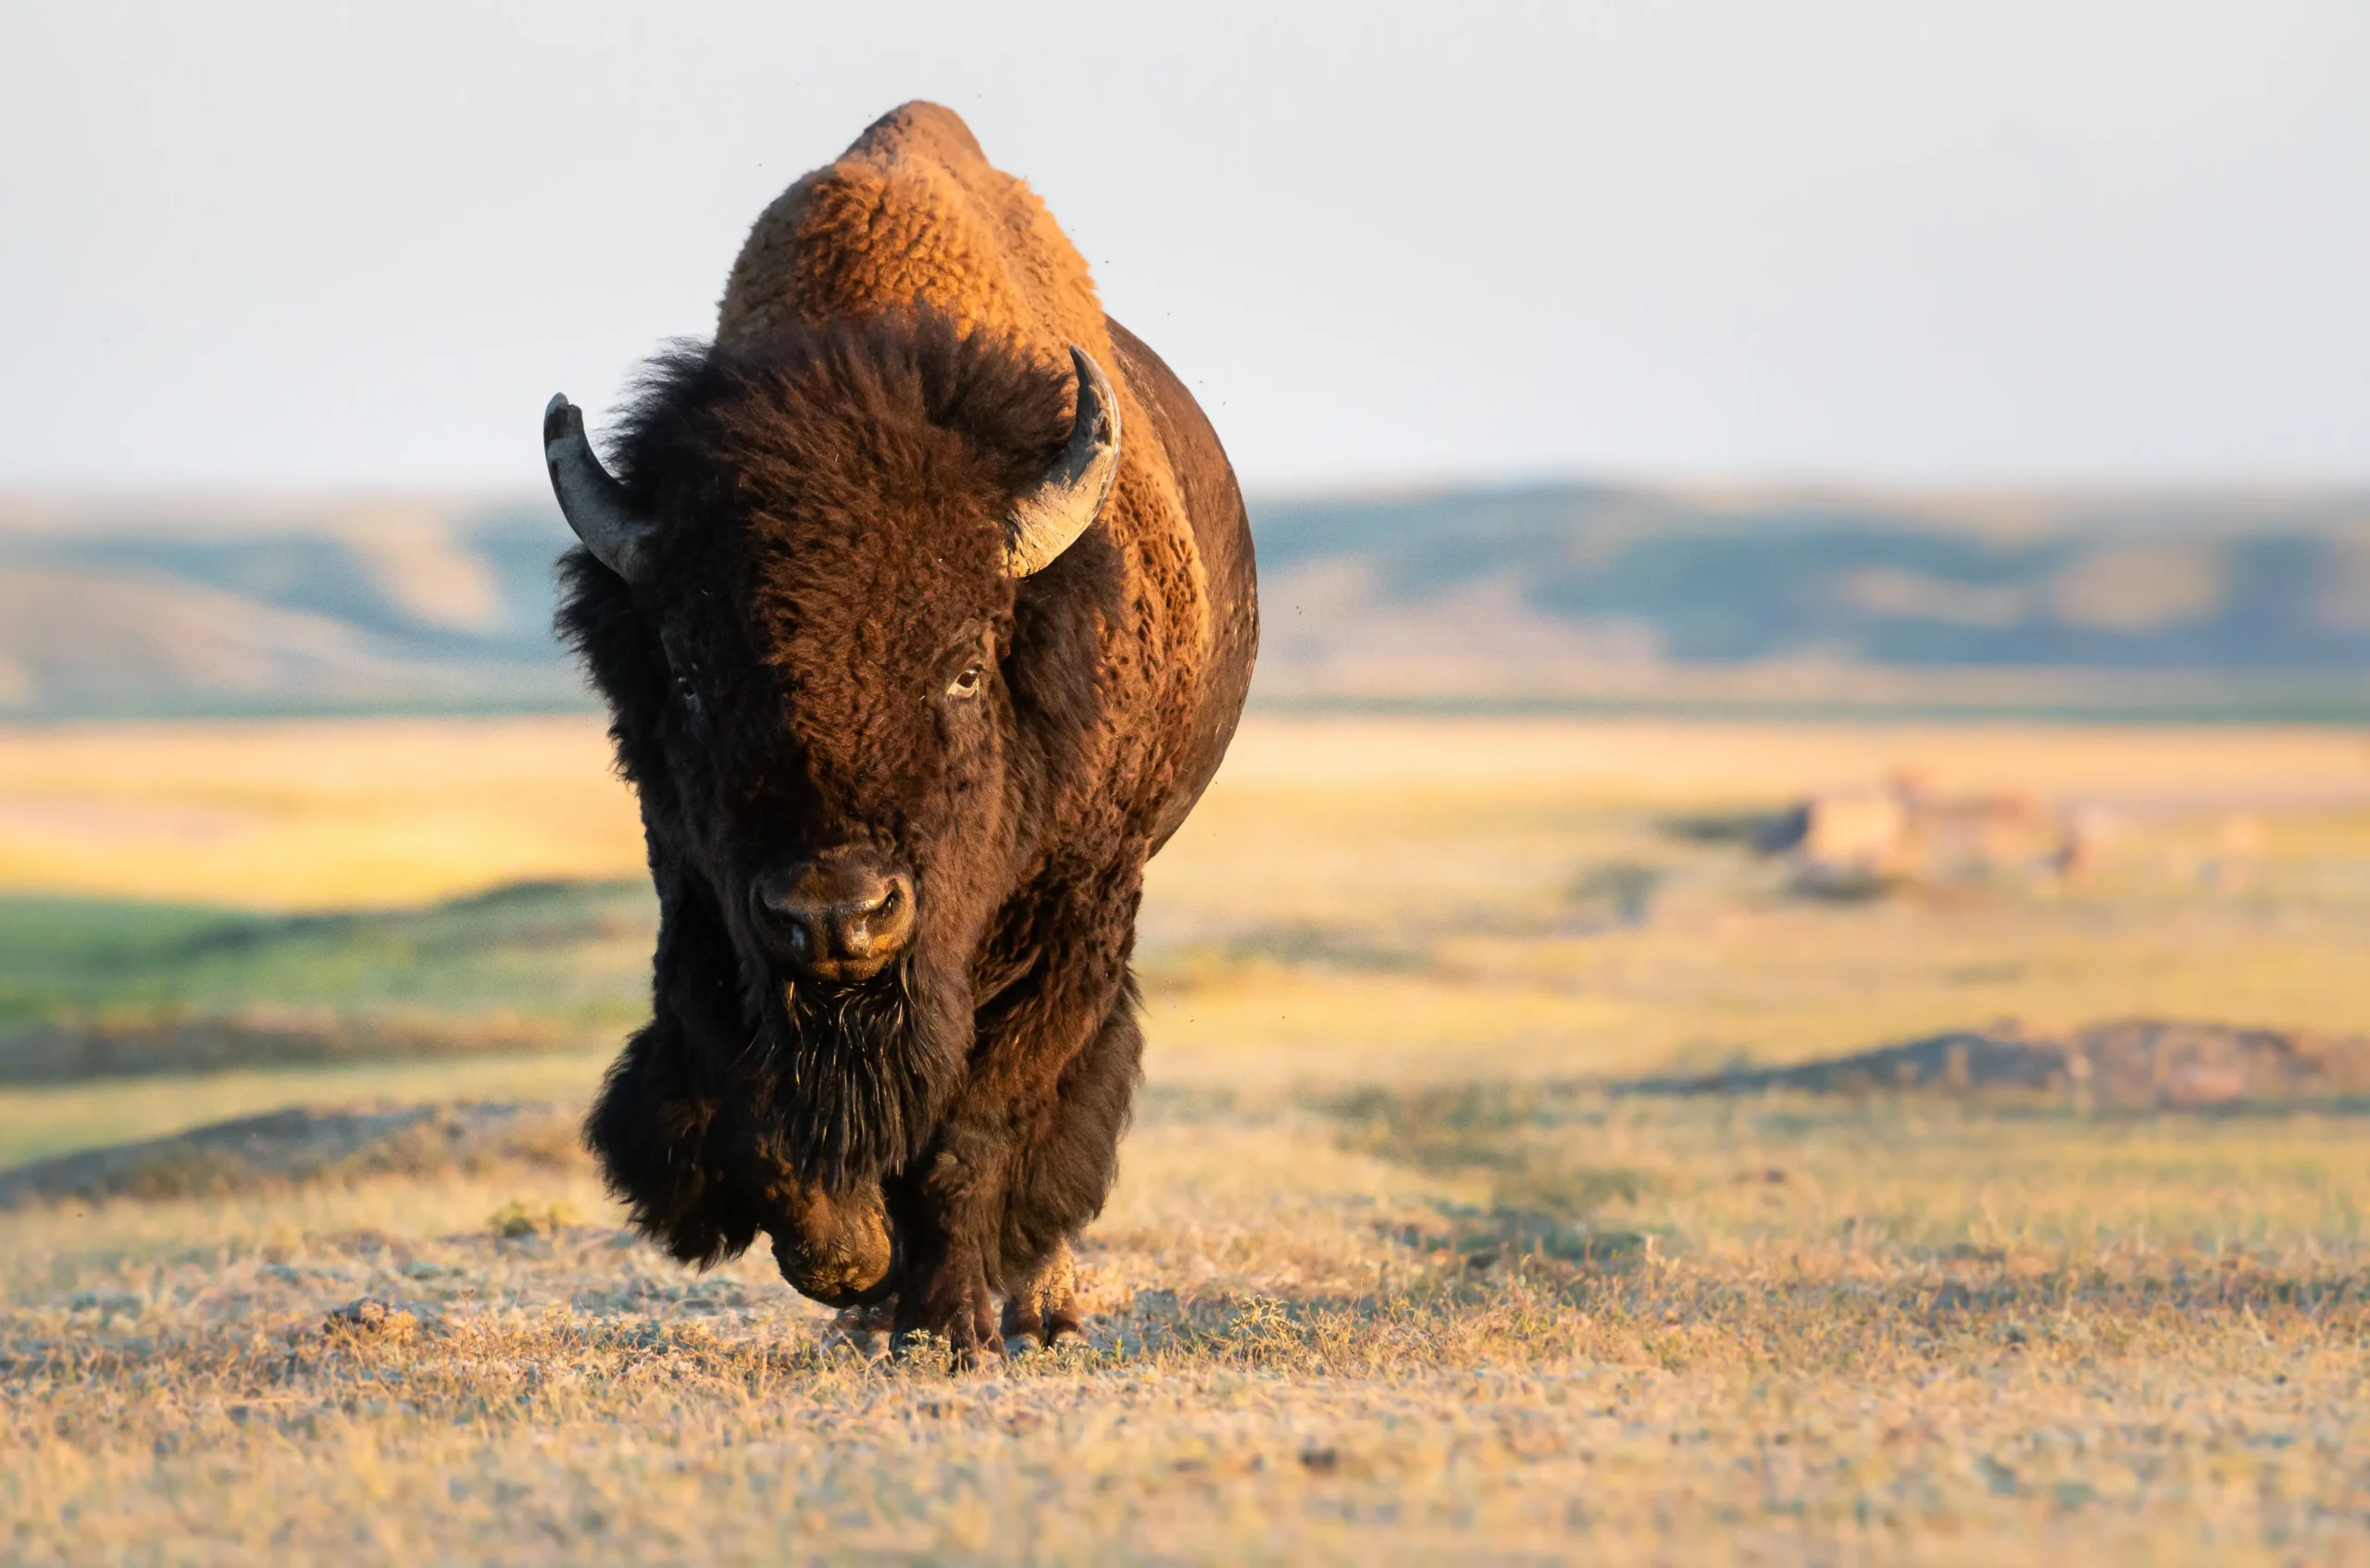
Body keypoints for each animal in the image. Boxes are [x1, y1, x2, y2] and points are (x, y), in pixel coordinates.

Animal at [543, 103, 1257, 1359]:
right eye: (687, 672)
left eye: (966, 666)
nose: (838, 914)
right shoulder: (705, 903)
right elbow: (754, 1098)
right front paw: (854, 1265)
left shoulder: (1070, 917)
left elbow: (980, 1125)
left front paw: (946, 1324)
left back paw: (1036, 1301)